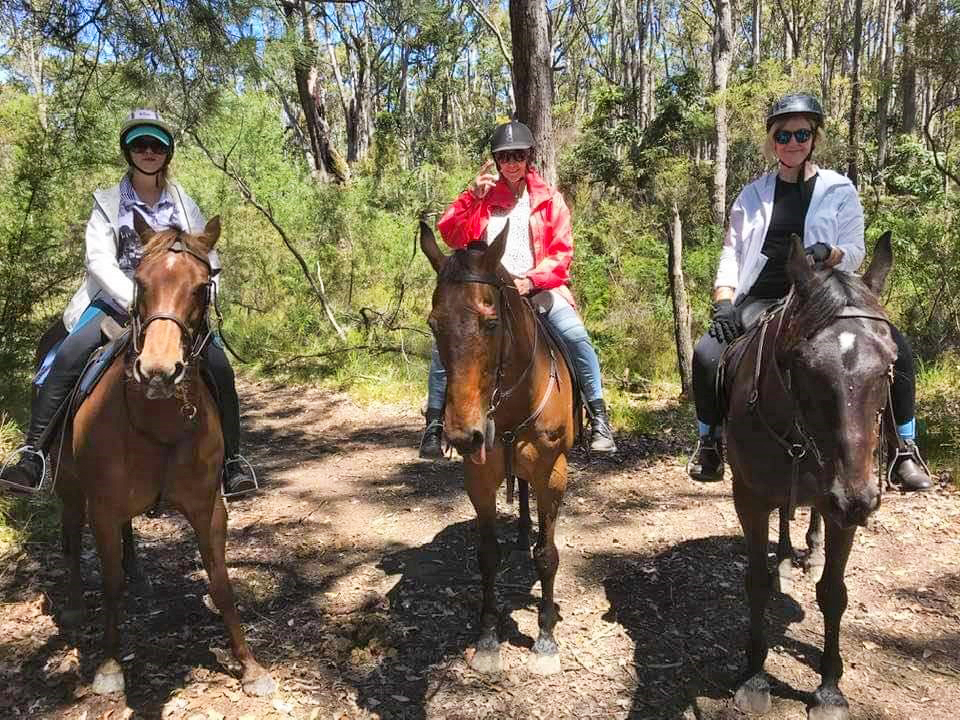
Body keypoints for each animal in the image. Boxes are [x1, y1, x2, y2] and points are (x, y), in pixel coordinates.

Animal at [52, 213, 275, 697]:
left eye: (201, 286)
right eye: (140, 281)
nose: (158, 370)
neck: (159, 424)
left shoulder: (208, 506)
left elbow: (221, 580)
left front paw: (250, 666)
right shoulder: (102, 507)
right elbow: (110, 583)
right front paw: (110, 665)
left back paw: (138, 574)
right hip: (70, 488)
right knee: (71, 540)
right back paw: (76, 605)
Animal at [419, 220, 575, 675]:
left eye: (490, 322)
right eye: (434, 324)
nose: (462, 435)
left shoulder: (553, 474)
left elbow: (548, 555)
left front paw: (546, 637)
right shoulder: (480, 476)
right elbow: (487, 555)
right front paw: (488, 636)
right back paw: (522, 531)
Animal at [724, 233, 896, 719]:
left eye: (889, 364)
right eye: (801, 364)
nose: (855, 501)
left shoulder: (842, 508)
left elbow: (833, 592)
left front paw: (830, 688)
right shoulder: (750, 498)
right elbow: (756, 582)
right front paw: (755, 675)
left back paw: (810, 550)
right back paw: (784, 555)